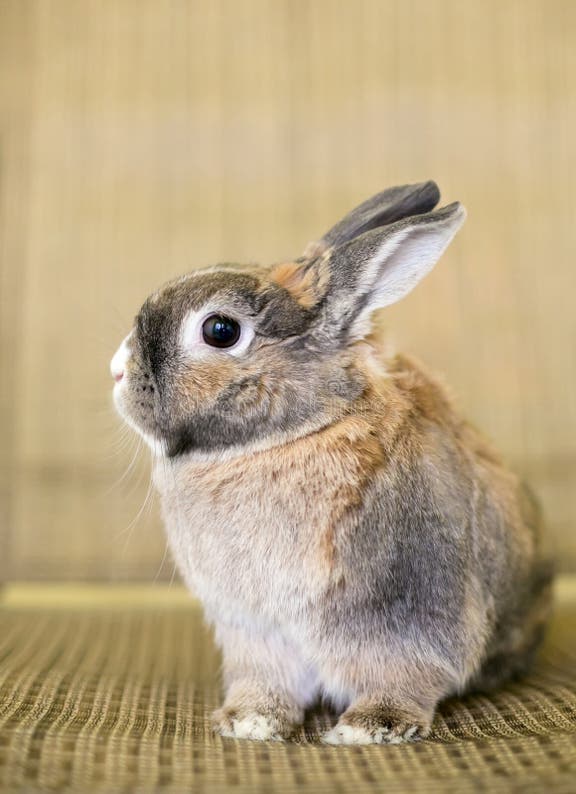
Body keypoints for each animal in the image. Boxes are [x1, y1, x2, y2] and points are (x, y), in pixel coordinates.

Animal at [111, 181, 552, 745]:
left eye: (220, 330)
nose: (116, 371)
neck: (294, 433)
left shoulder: (410, 612)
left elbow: (406, 675)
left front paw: (371, 728)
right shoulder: (255, 630)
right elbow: (267, 681)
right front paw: (249, 721)